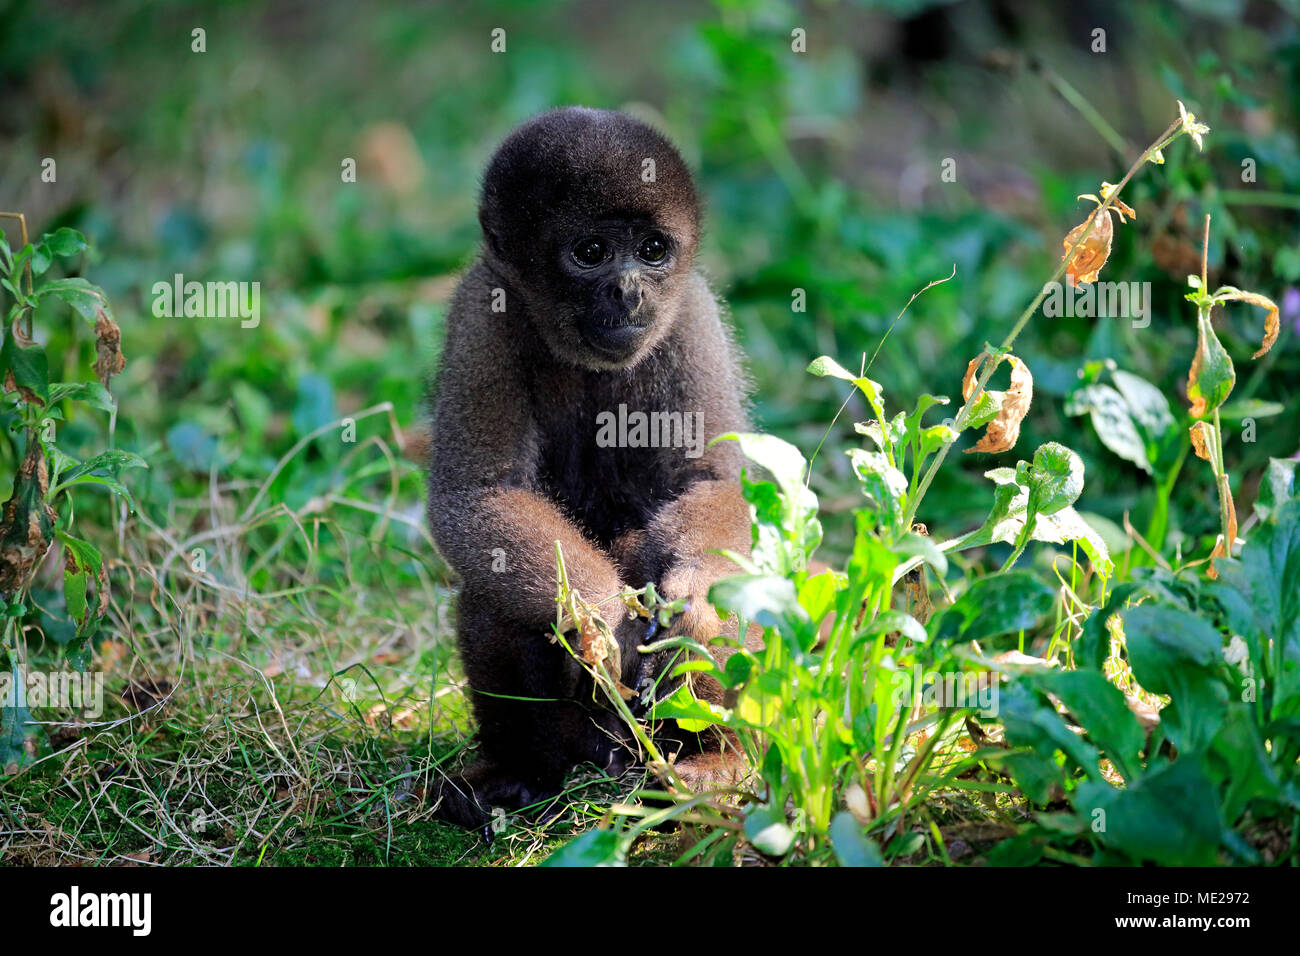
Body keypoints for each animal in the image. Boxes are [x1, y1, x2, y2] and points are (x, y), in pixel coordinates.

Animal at [425, 107, 754, 827]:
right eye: (592, 253)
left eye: (653, 251)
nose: (629, 292)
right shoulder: (480, 312)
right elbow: (477, 495)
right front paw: (594, 616)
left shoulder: (691, 313)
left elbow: (713, 483)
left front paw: (691, 605)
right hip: (588, 731)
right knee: (496, 589)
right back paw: (521, 772)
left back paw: (715, 766)